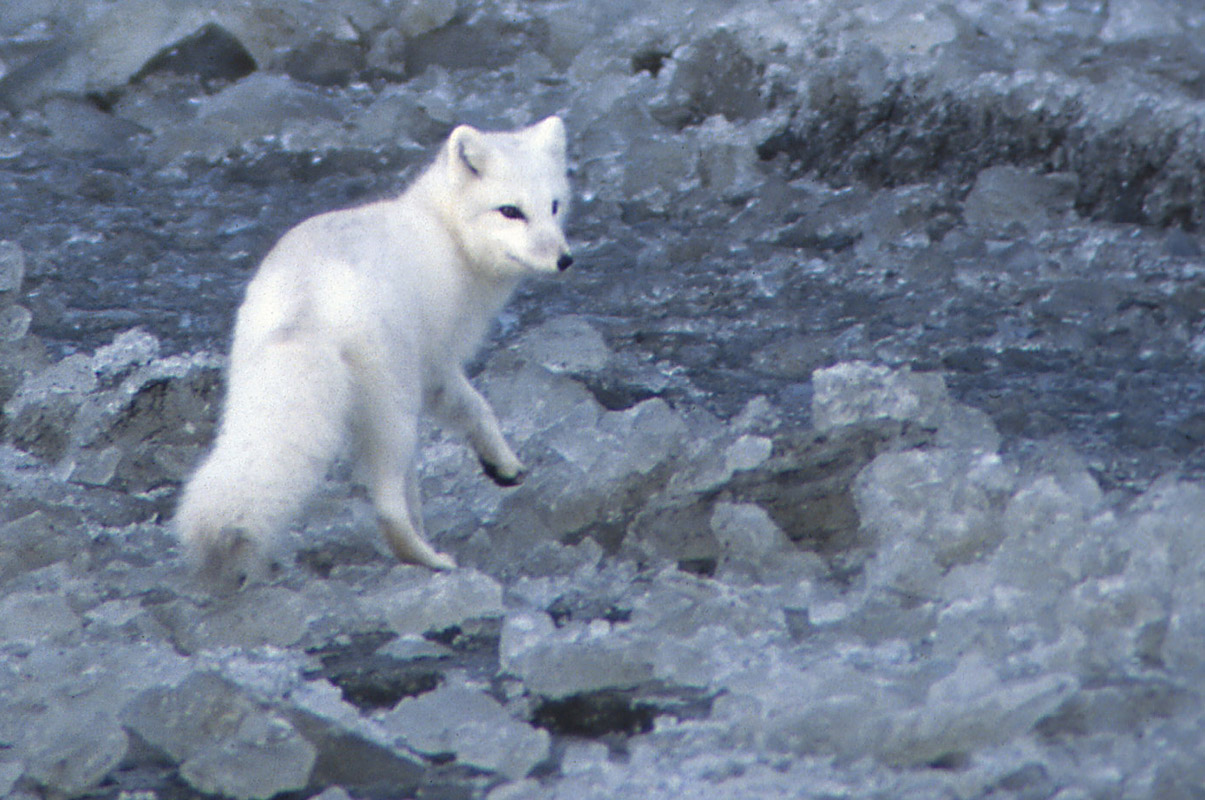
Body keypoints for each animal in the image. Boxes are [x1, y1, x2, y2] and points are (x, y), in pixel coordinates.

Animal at [175, 116, 573, 588]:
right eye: (510, 211)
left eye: (554, 206)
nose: (564, 260)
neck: (446, 233)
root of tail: (310, 299)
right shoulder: (437, 363)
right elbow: (477, 406)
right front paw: (504, 462)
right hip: (395, 408)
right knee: (386, 504)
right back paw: (430, 559)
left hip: (252, 391)